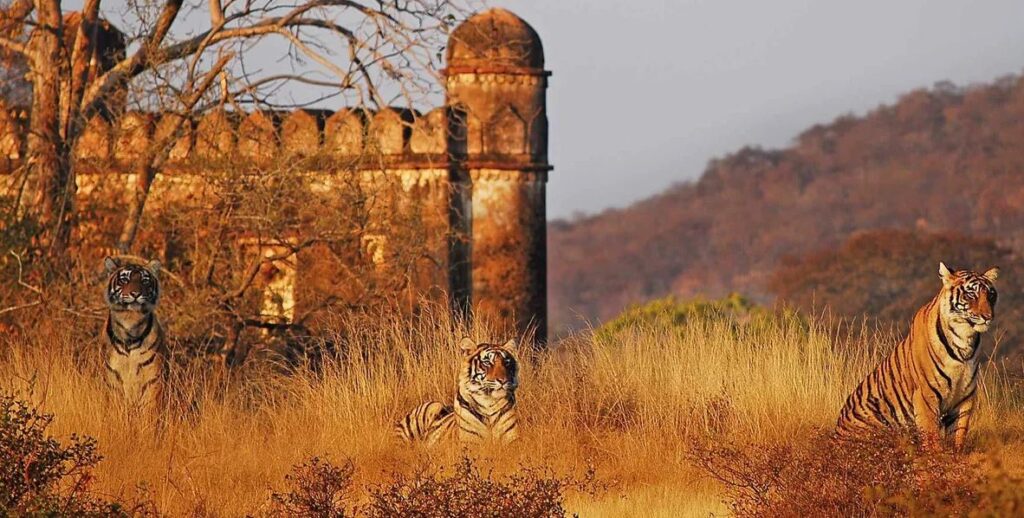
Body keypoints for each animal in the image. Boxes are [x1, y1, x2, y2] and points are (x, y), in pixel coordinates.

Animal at [102, 255, 168, 416]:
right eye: (124, 280)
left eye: (145, 281)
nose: (136, 294)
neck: (130, 322)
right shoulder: (113, 378)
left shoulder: (152, 379)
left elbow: (150, 412)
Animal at [836, 262, 999, 450]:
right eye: (971, 294)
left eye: (991, 295)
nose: (988, 317)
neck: (964, 339)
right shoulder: (926, 395)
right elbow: (932, 436)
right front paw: (936, 456)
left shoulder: (965, 396)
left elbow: (959, 434)